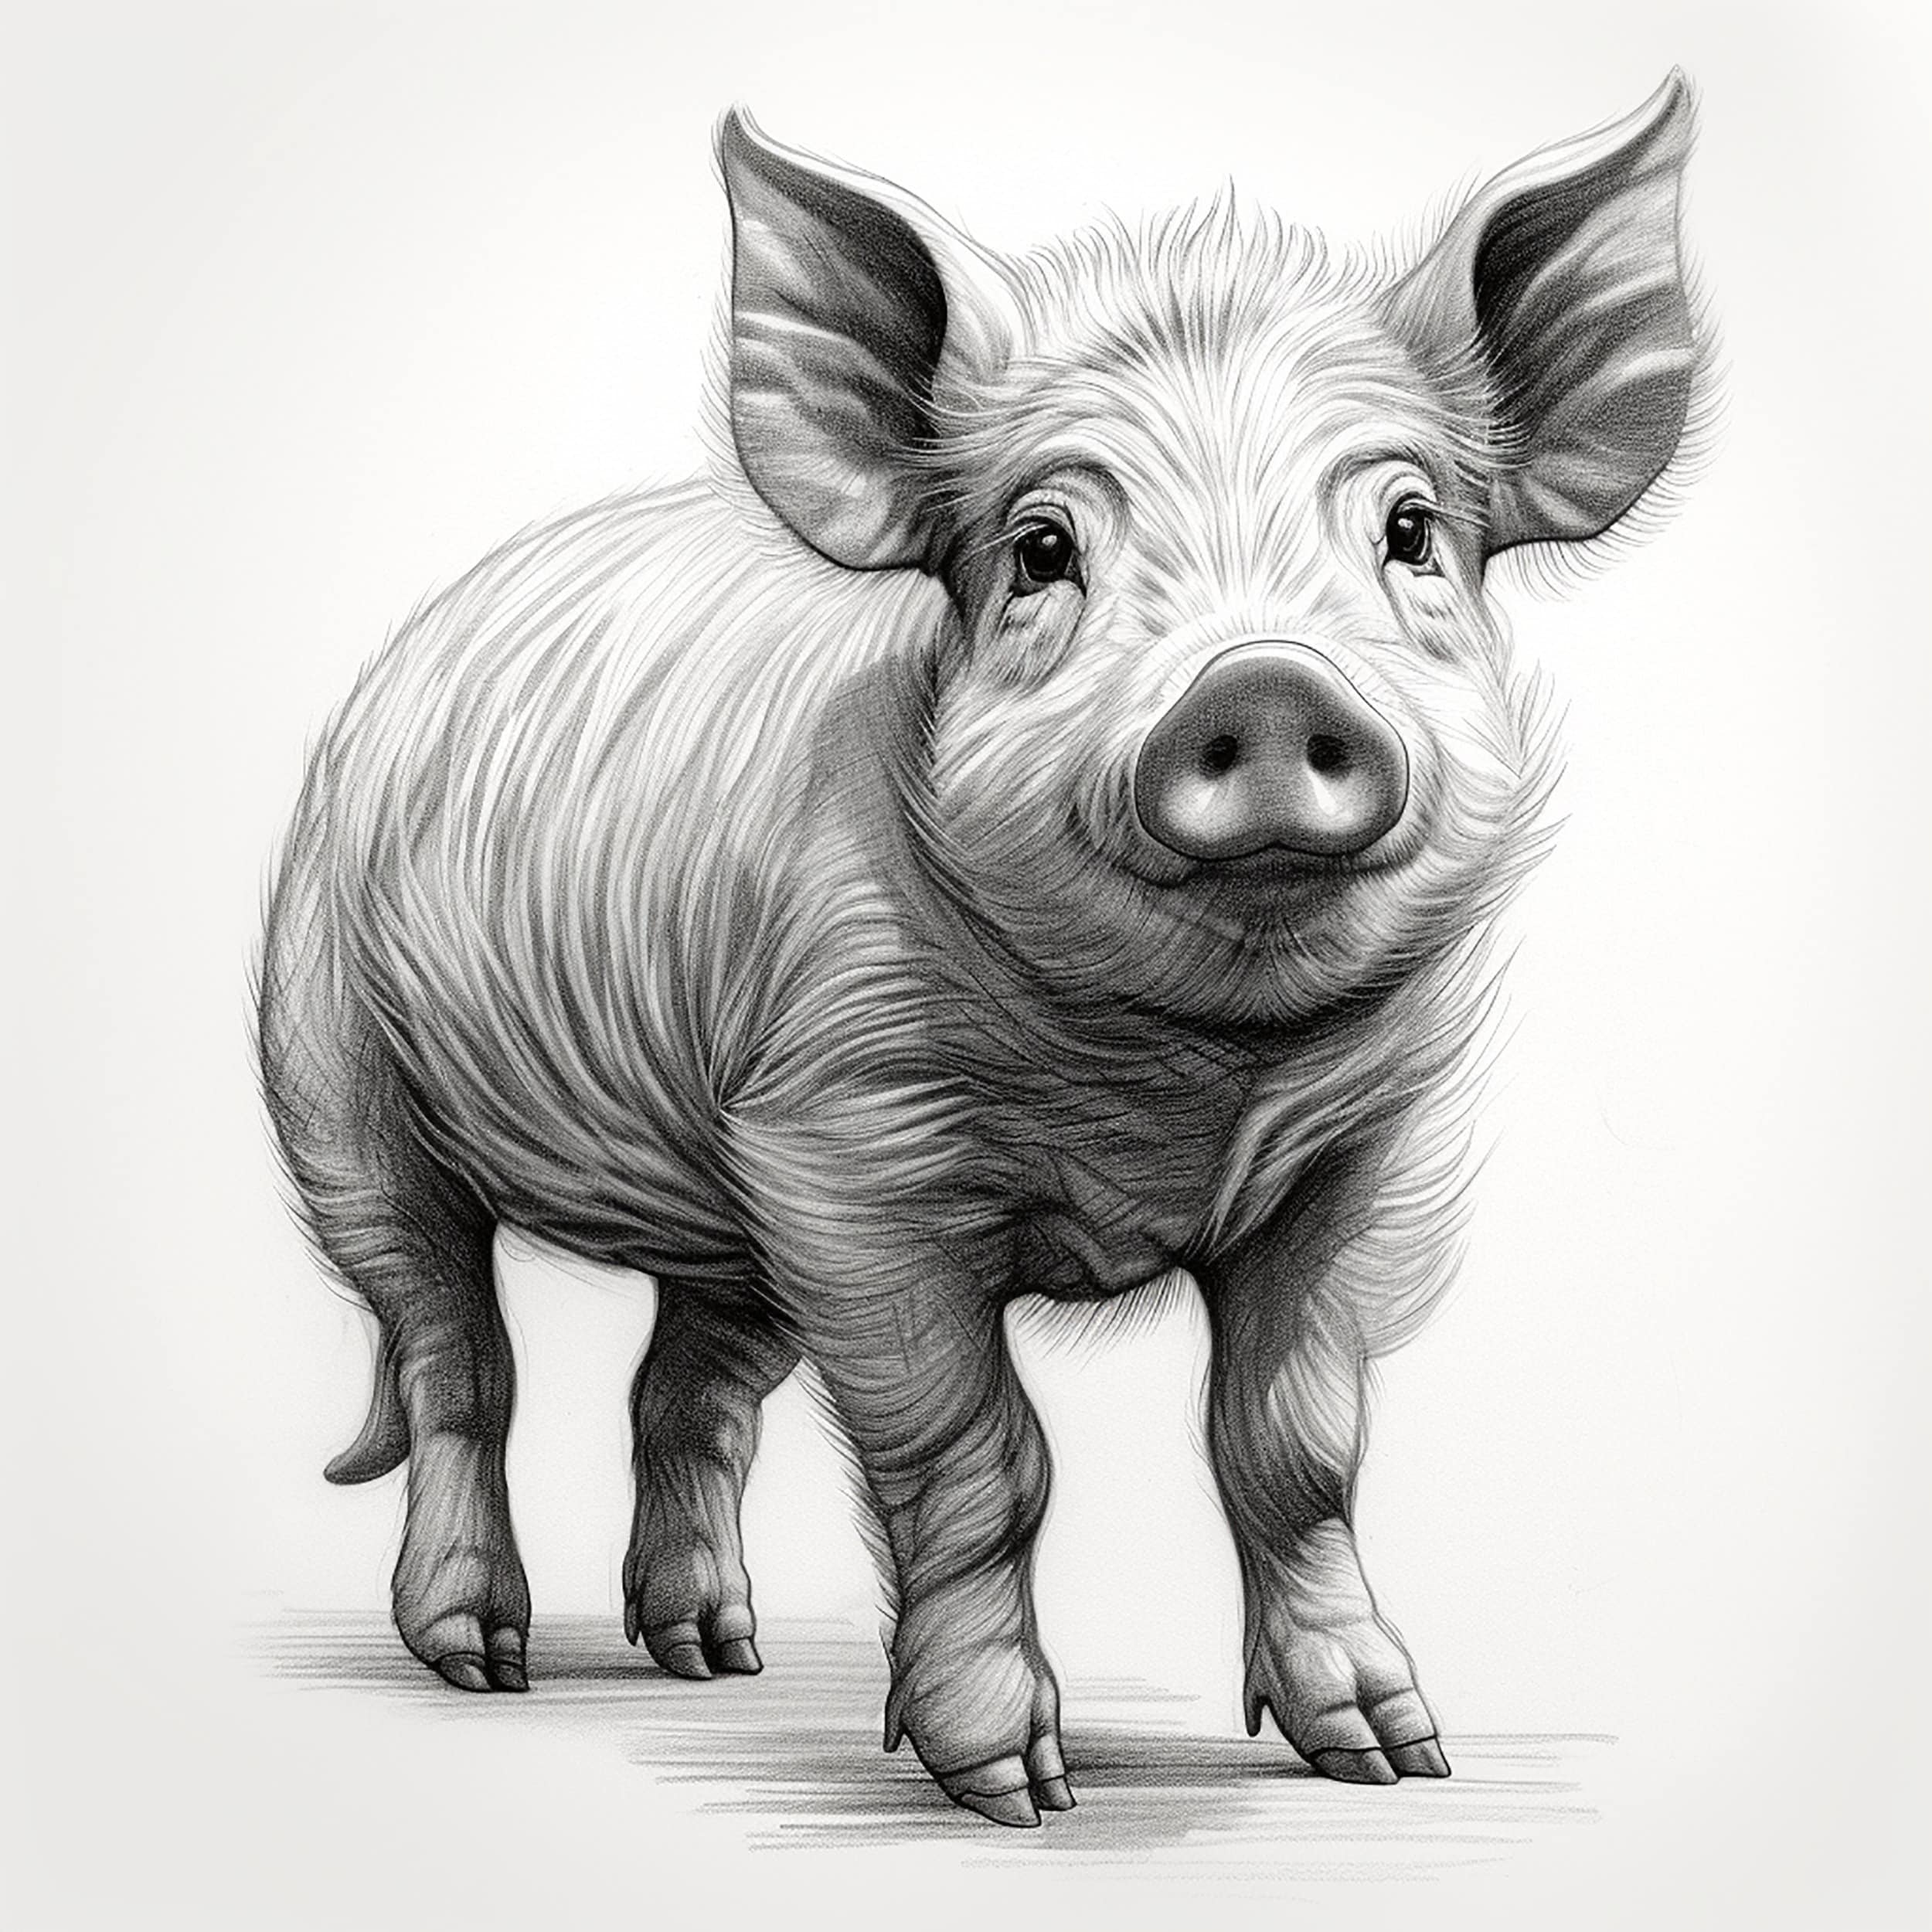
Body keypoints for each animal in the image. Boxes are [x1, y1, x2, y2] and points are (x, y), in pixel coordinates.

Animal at [257, 74, 1704, 1826]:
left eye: (1411, 528)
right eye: (1040, 549)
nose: (1265, 683)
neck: (1186, 1077)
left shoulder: (1362, 1158)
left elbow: (1295, 1448)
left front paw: (1393, 1754)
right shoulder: (848, 1147)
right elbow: (976, 1457)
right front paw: (1018, 1792)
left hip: (728, 1194)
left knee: (684, 1389)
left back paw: (714, 1656)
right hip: (329, 1059)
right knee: (452, 1352)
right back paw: (484, 1660)